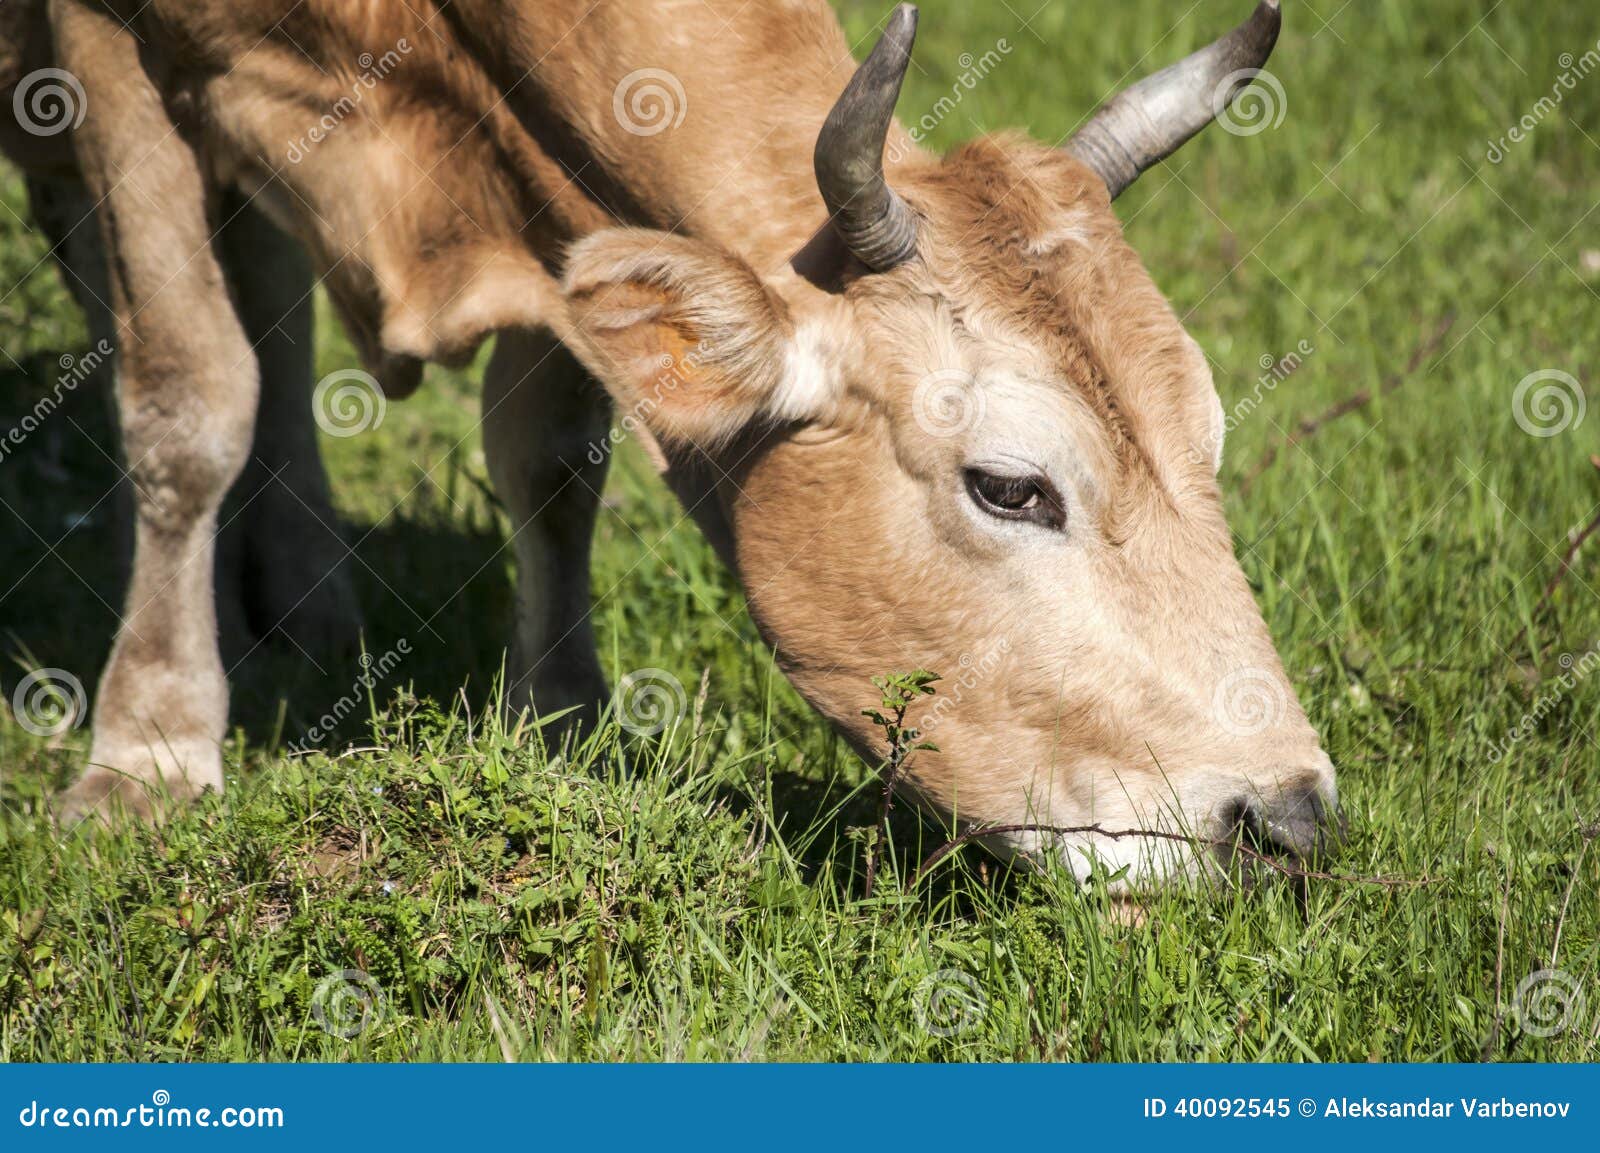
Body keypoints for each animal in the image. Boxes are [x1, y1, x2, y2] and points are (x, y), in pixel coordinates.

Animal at [0, 0, 1341, 886]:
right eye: (1010, 487)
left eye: (1208, 444)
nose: (1285, 819)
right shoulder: (104, 39)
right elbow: (189, 394)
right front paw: (150, 749)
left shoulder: (550, 184)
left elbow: (549, 457)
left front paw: (560, 722)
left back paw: (304, 590)